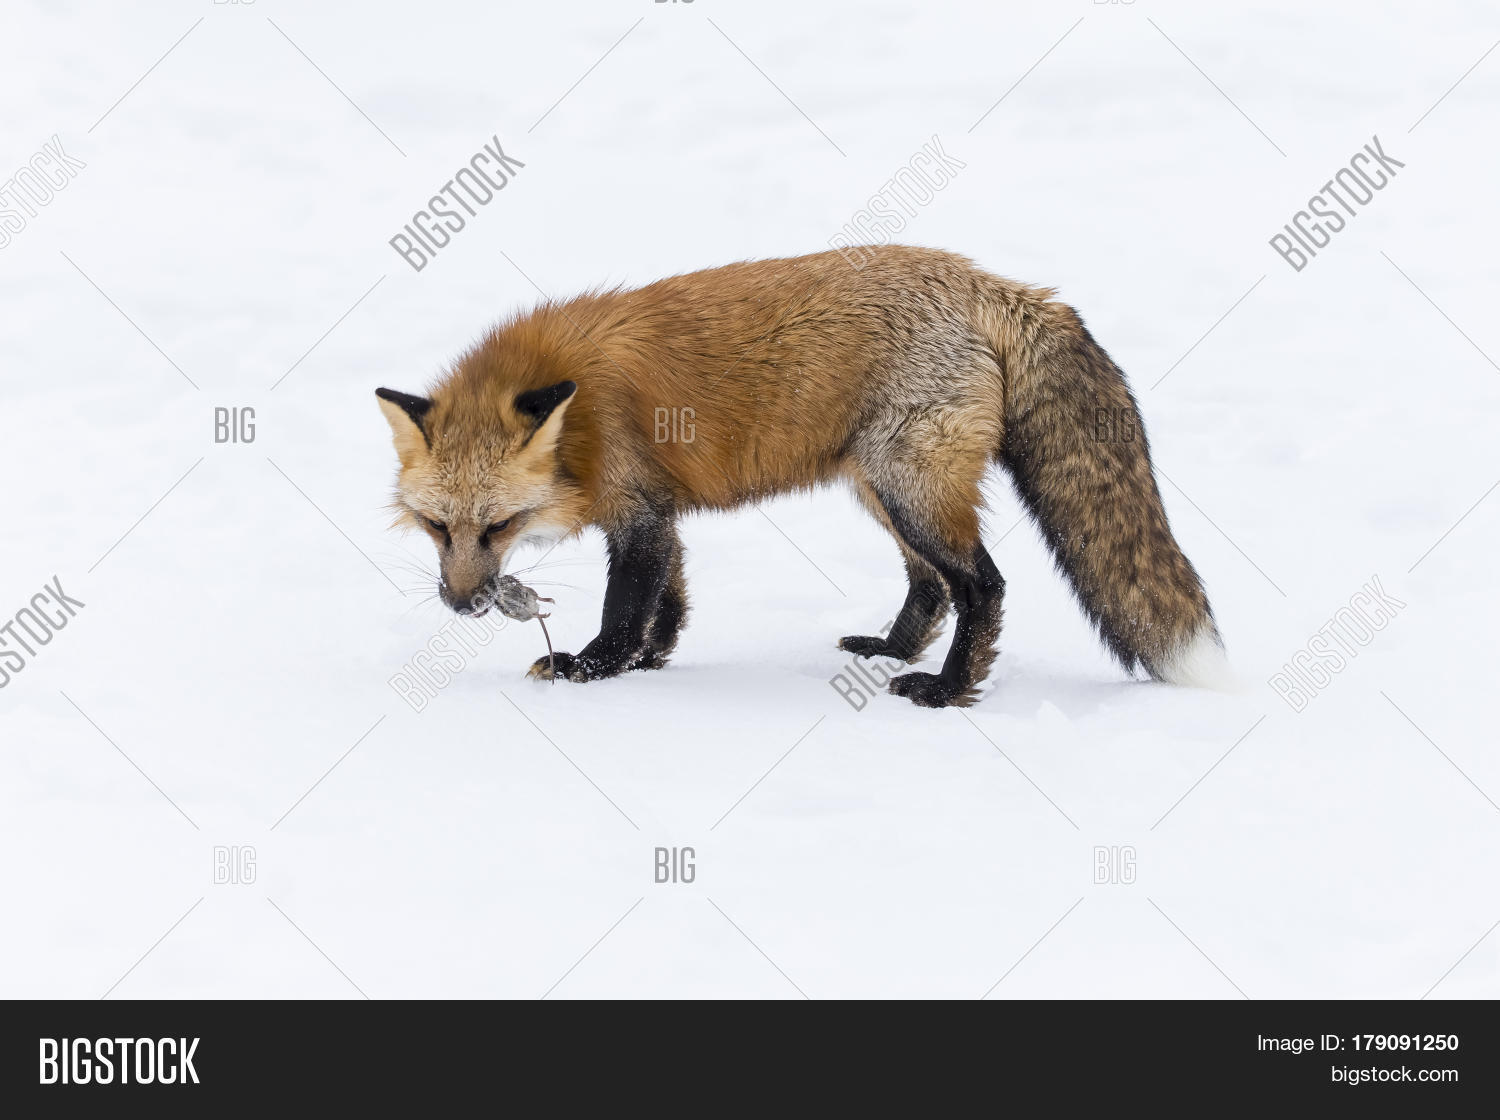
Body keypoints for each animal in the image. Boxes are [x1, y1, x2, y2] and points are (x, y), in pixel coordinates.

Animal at [376, 245, 1225, 708]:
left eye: (499, 526)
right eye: (437, 527)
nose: (462, 605)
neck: (578, 417)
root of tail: (994, 283)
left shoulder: (636, 507)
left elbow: (626, 606)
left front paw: (591, 668)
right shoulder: (655, 506)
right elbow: (668, 601)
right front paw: (652, 663)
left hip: (909, 487)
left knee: (983, 586)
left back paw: (946, 691)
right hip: (880, 485)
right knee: (931, 585)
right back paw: (891, 650)